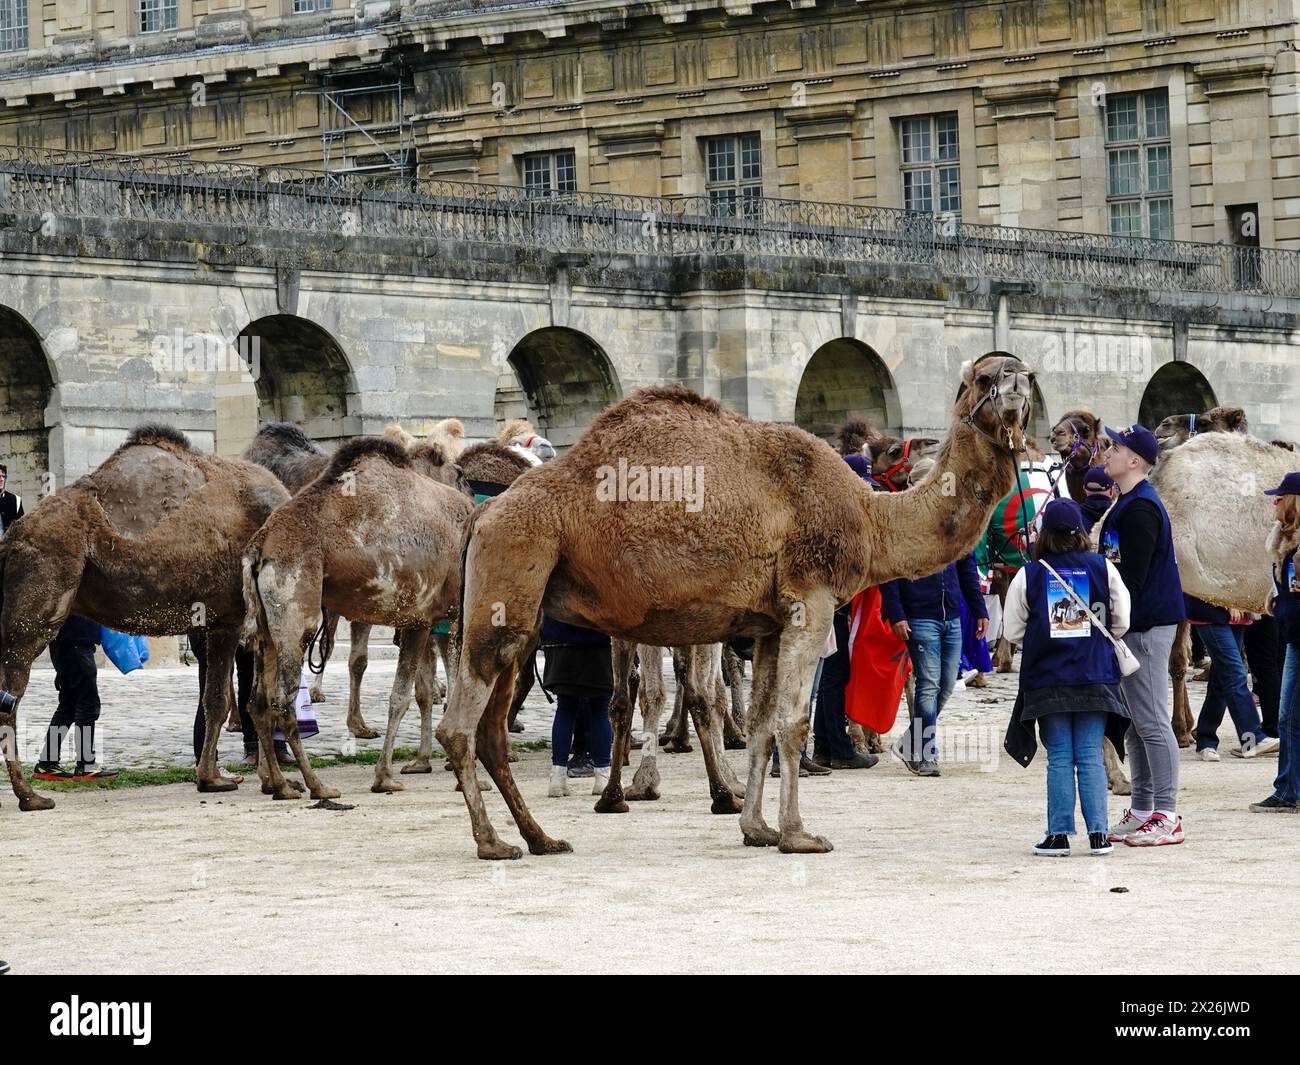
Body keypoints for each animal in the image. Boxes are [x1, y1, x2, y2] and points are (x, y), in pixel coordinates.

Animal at [0, 425, 289, 810]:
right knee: (10, 698)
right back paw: (30, 797)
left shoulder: (223, 620)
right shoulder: (242, 618)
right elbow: (246, 698)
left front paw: (214, 779)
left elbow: (218, 699)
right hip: (36, 600)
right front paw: (266, 782)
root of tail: (10, 540)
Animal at [242, 436, 473, 800]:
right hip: (296, 611)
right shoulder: (428, 617)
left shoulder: (423, 619)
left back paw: (280, 784)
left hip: (266, 626)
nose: (472, 488)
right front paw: (386, 777)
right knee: (284, 702)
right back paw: (318, 786)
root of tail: (258, 546)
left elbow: (417, 692)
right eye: (460, 472)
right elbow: (402, 697)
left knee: (258, 702)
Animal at [436, 353, 1034, 859]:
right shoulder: (811, 601)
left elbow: (762, 724)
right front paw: (798, 835)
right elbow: (792, 721)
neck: (871, 517)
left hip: (519, 607)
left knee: (491, 727)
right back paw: (493, 842)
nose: (1015, 394)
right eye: (986, 379)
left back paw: (541, 839)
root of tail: (479, 515)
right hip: (511, 571)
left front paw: (757, 828)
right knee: (459, 726)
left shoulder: (769, 622)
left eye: (1025, 374)